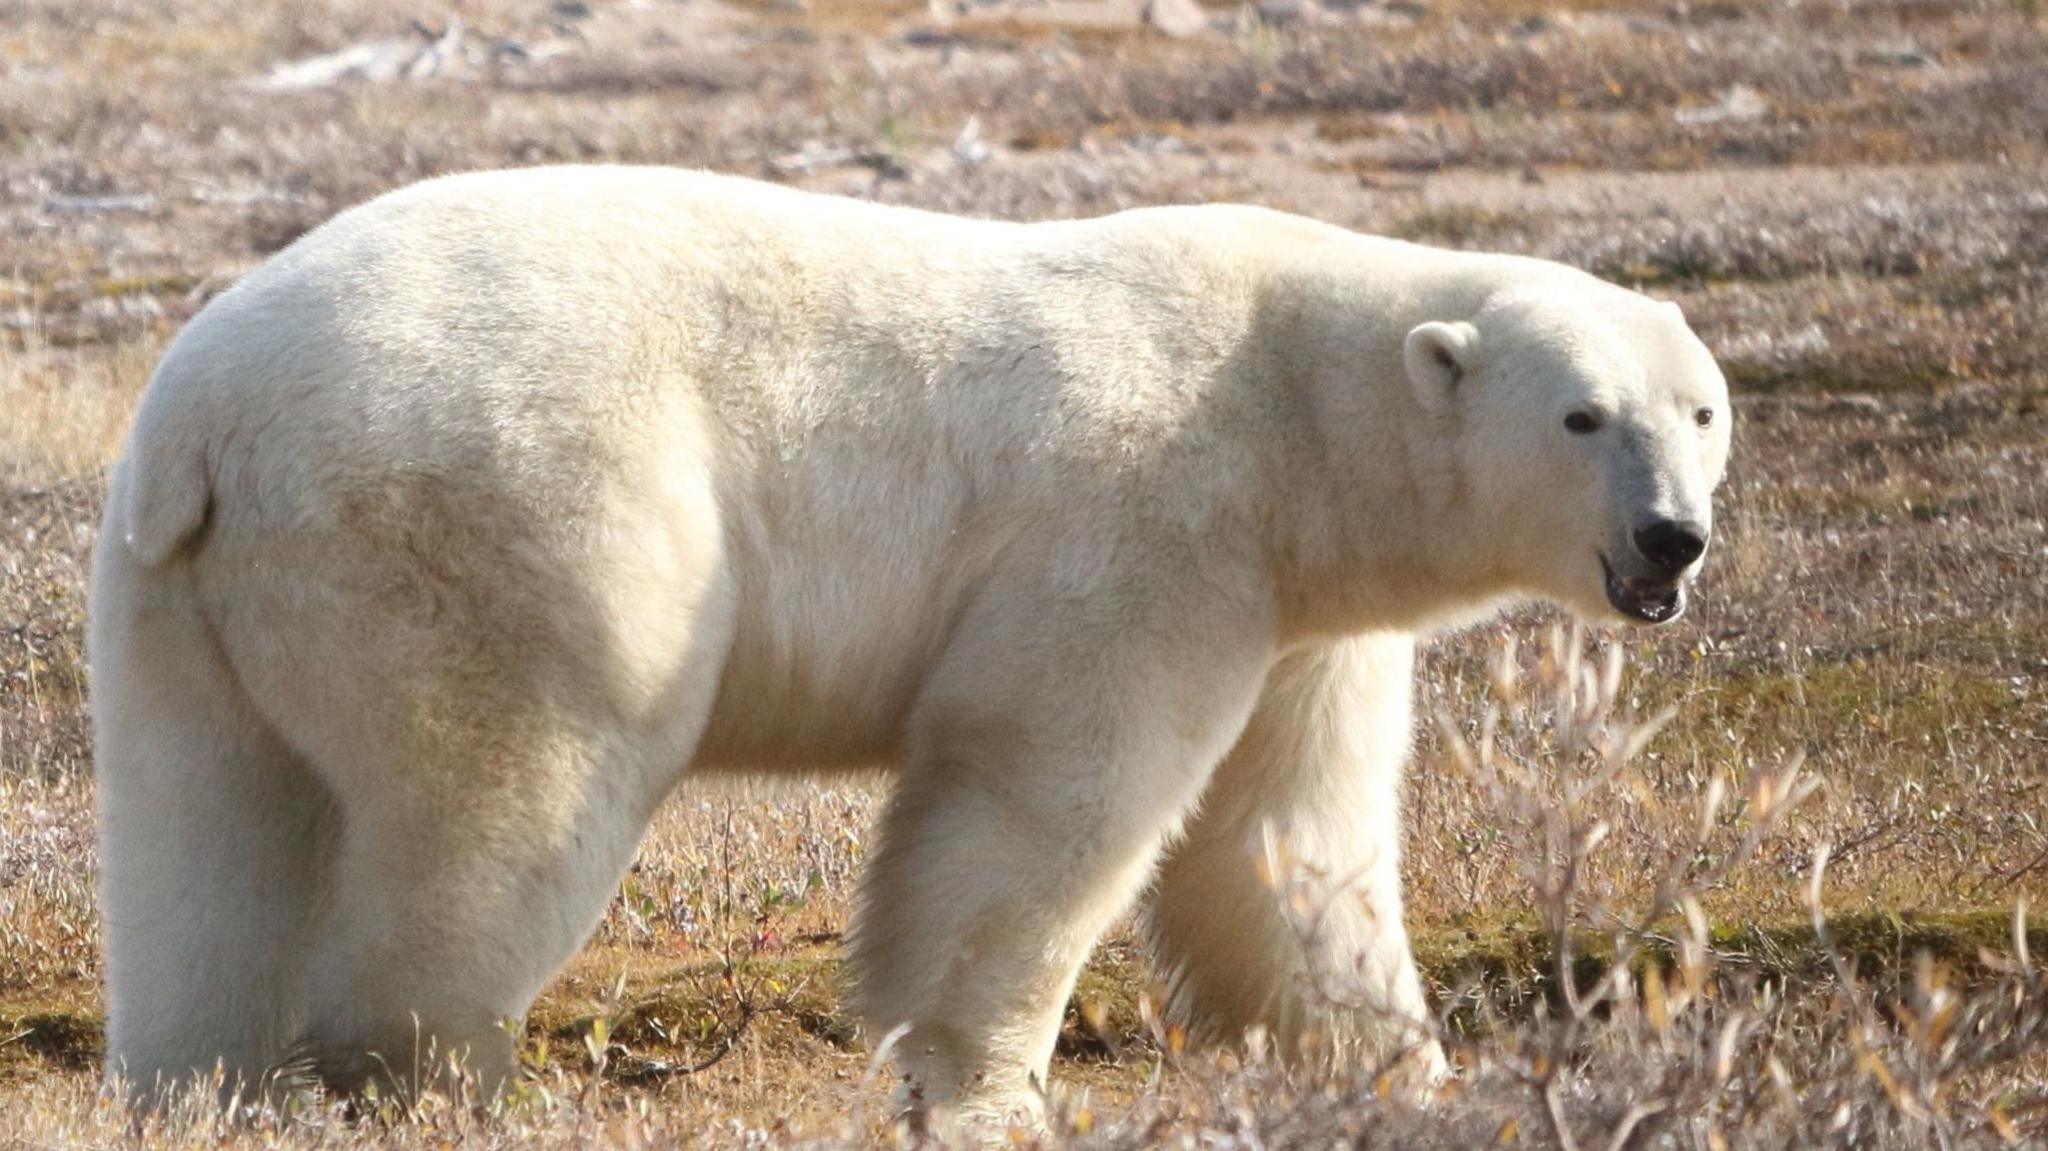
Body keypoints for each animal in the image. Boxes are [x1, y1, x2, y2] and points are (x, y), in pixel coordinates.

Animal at [88, 166, 1731, 1123]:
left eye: (1701, 408)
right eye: (1581, 414)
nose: (1671, 539)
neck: (1291, 405)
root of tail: (209, 419)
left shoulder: (1300, 611)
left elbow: (1284, 839)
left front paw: (1402, 1069)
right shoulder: (1148, 524)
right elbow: (1047, 795)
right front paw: (982, 1087)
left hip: (182, 599)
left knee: (208, 840)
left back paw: (202, 1085)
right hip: (503, 514)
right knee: (505, 789)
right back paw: (446, 1076)